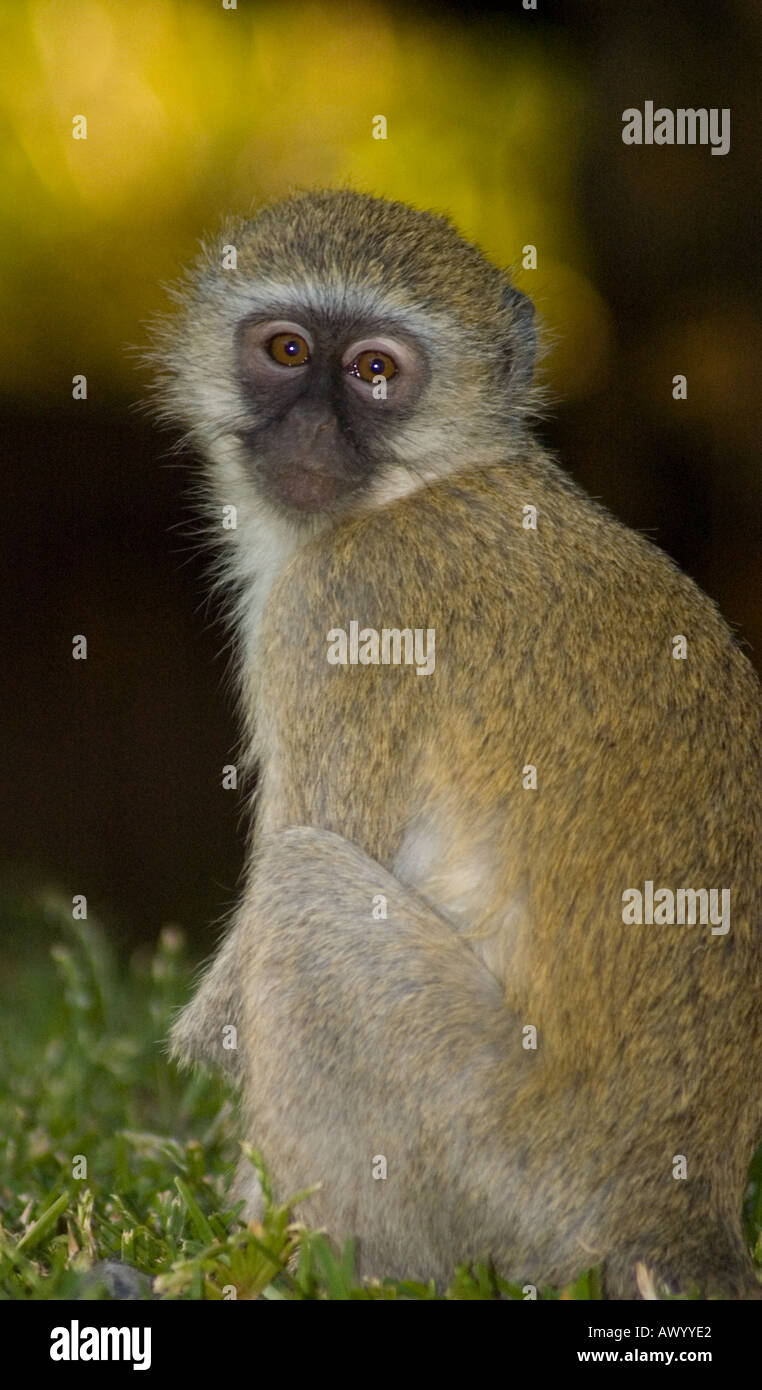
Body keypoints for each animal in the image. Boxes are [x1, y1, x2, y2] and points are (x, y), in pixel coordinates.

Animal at [148, 189, 762, 1299]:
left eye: (374, 372)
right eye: (287, 350)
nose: (311, 428)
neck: (425, 484)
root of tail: (677, 1206)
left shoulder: (339, 610)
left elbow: (251, 968)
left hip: (489, 1153)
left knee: (303, 894)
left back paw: (311, 1258)